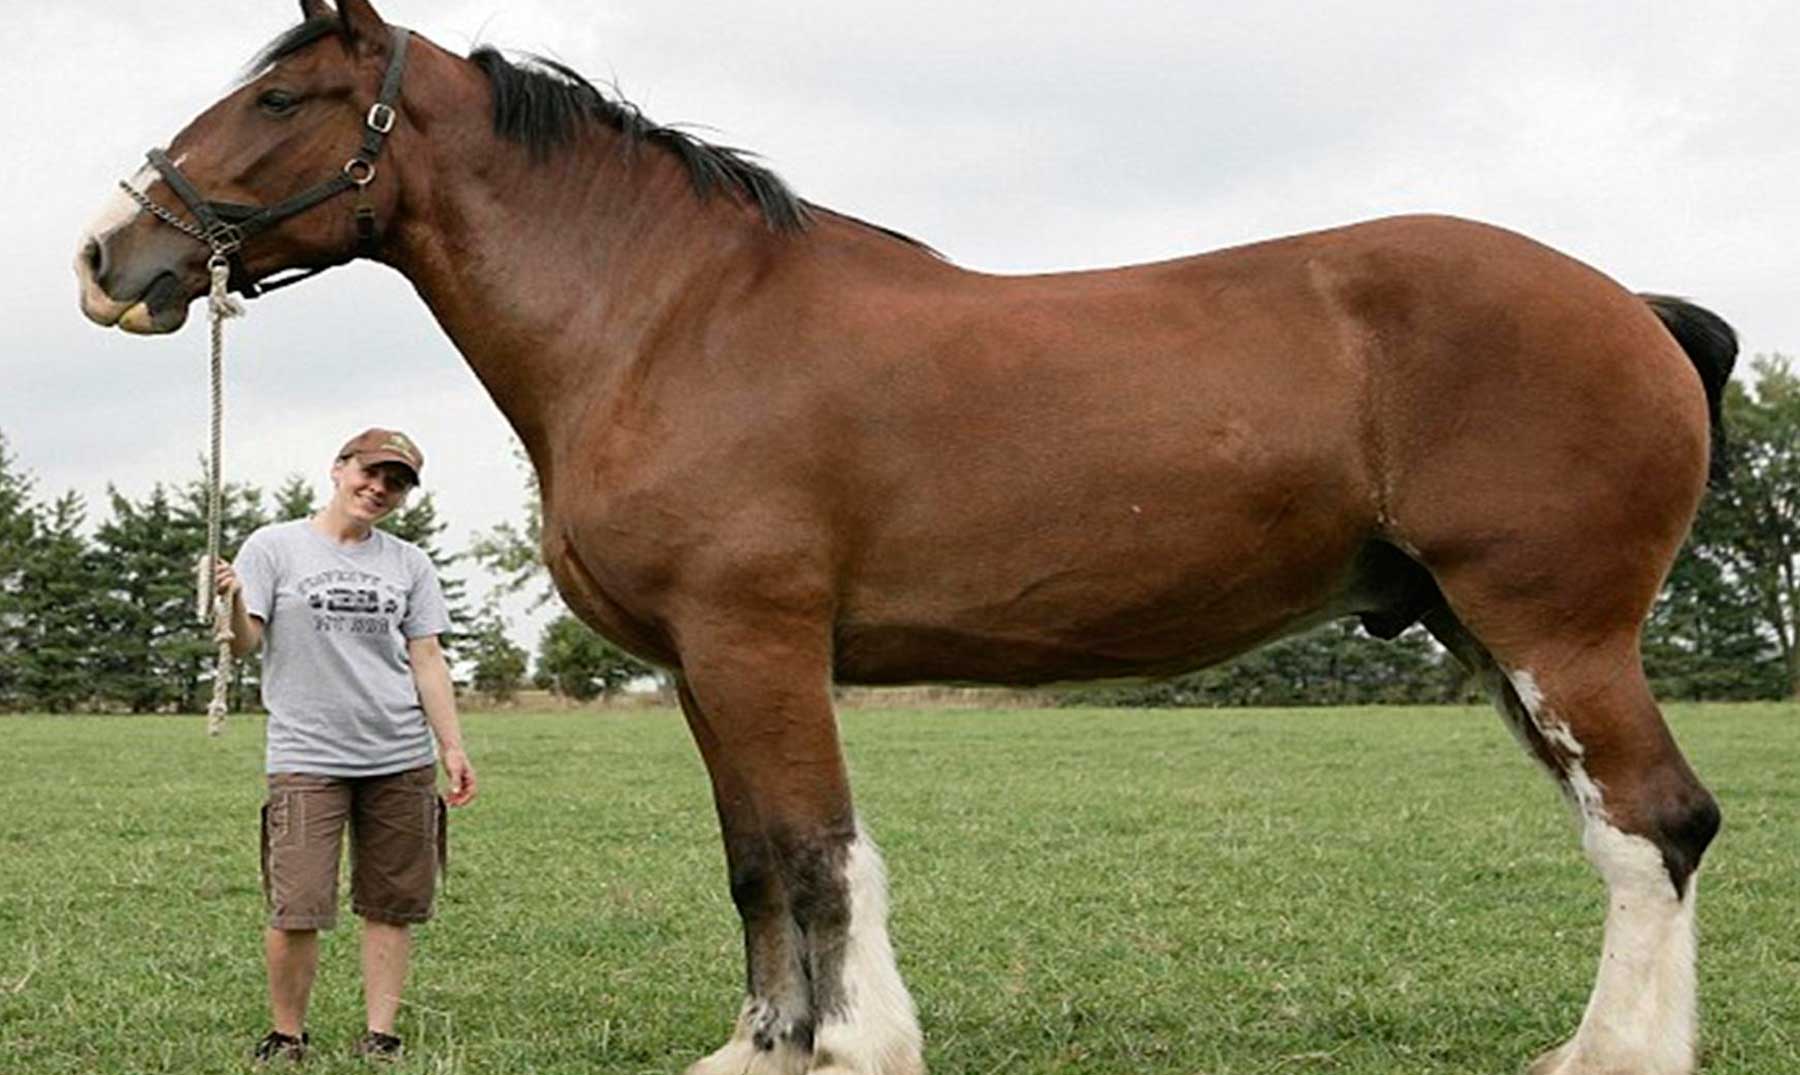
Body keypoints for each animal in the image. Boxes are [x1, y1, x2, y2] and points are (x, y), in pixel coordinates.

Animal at [76, 2, 1736, 1073]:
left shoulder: (760, 637)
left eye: (278, 101)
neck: (666, 317)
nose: (108, 254)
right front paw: (764, 1044)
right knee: (1632, 833)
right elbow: (754, 857)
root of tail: (1630, 306)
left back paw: (1606, 1054)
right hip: (1489, 634)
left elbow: (820, 850)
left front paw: (858, 1040)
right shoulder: (704, 663)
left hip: (1554, 628)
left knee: (1655, 824)